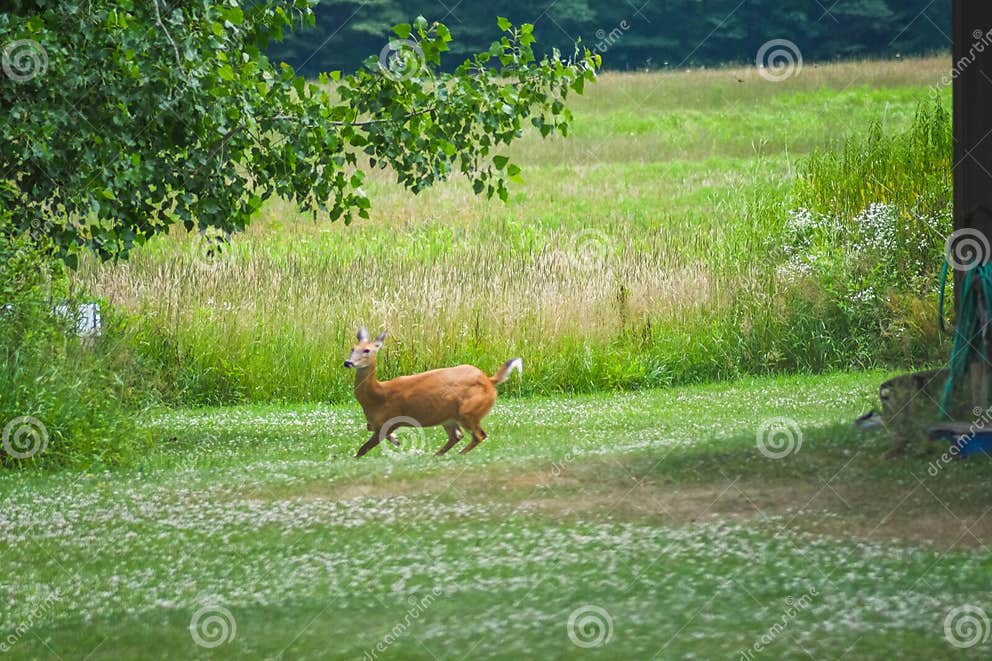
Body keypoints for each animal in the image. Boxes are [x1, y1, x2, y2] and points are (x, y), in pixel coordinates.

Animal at [344, 328, 522, 458]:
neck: (376, 396)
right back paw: (437, 456)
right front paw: (396, 440)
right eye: (352, 348)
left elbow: (363, 449)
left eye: (367, 350)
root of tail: (489, 380)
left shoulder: (391, 419)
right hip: (449, 415)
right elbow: (369, 429)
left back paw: (457, 455)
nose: (348, 362)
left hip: (469, 410)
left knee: (479, 435)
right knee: (457, 436)